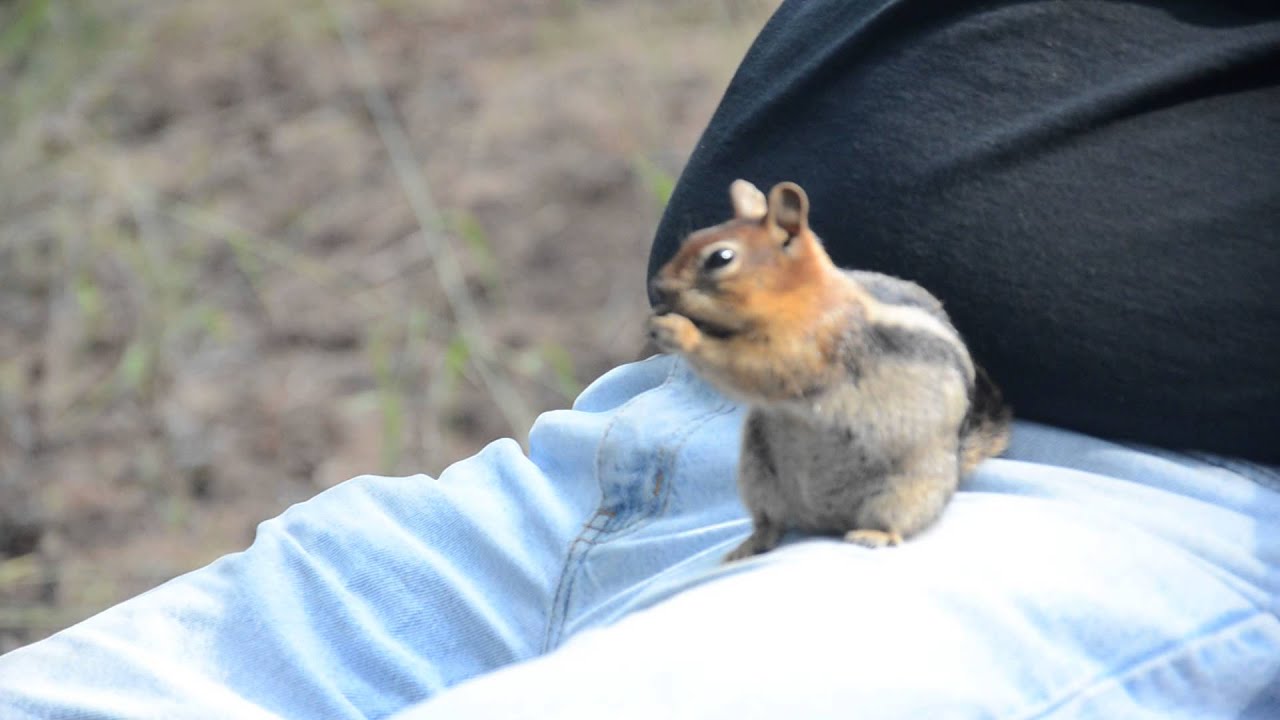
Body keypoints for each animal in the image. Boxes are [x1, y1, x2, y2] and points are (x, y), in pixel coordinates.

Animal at [648, 179, 1011, 562]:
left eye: (721, 258)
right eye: (692, 237)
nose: (657, 287)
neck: (803, 295)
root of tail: (824, 520)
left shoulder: (806, 347)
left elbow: (756, 367)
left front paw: (677, 330)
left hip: (908, 488)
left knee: (896, 523)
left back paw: (873, 535)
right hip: (757, 473)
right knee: (771, 522)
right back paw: (748, 546)